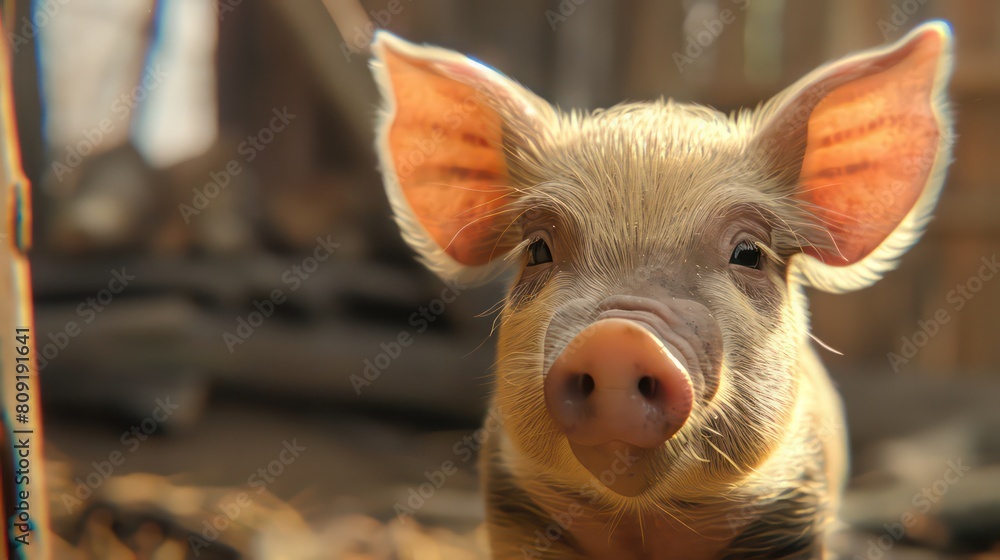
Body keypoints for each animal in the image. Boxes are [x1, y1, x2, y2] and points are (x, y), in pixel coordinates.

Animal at [369, 21, 953, 559]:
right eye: (537, 248)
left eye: (749, 253)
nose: (618, 336)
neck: (643, 526)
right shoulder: (514, 505)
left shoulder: (794, 511)